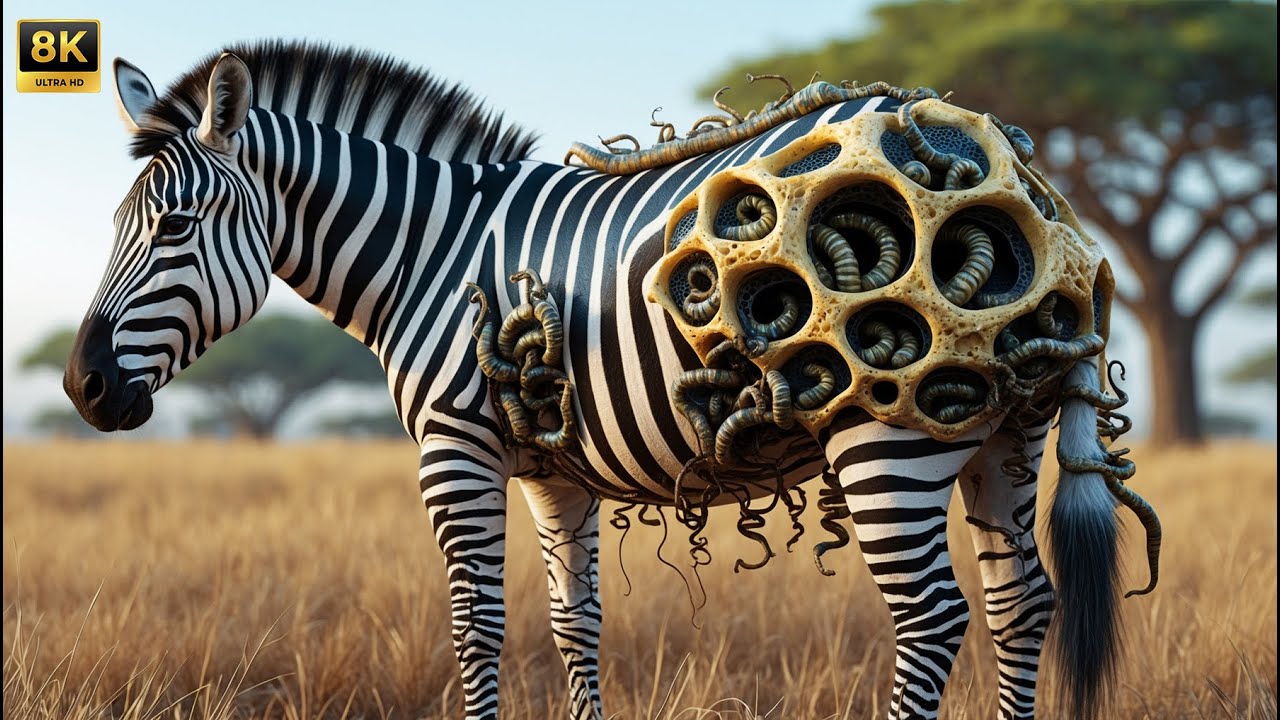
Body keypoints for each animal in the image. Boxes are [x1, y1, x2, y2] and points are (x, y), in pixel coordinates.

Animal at [61, 41, 1142, 720]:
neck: (426, 254)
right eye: (117, 225)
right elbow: (571, 622)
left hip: (890, 431)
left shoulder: (456, 445)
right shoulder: (553, 468)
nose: (81, 388)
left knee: (931, 617)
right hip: (1001, 429)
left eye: (172, 227)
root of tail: (1017, 171)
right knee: (1019, 605)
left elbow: (477, 626)